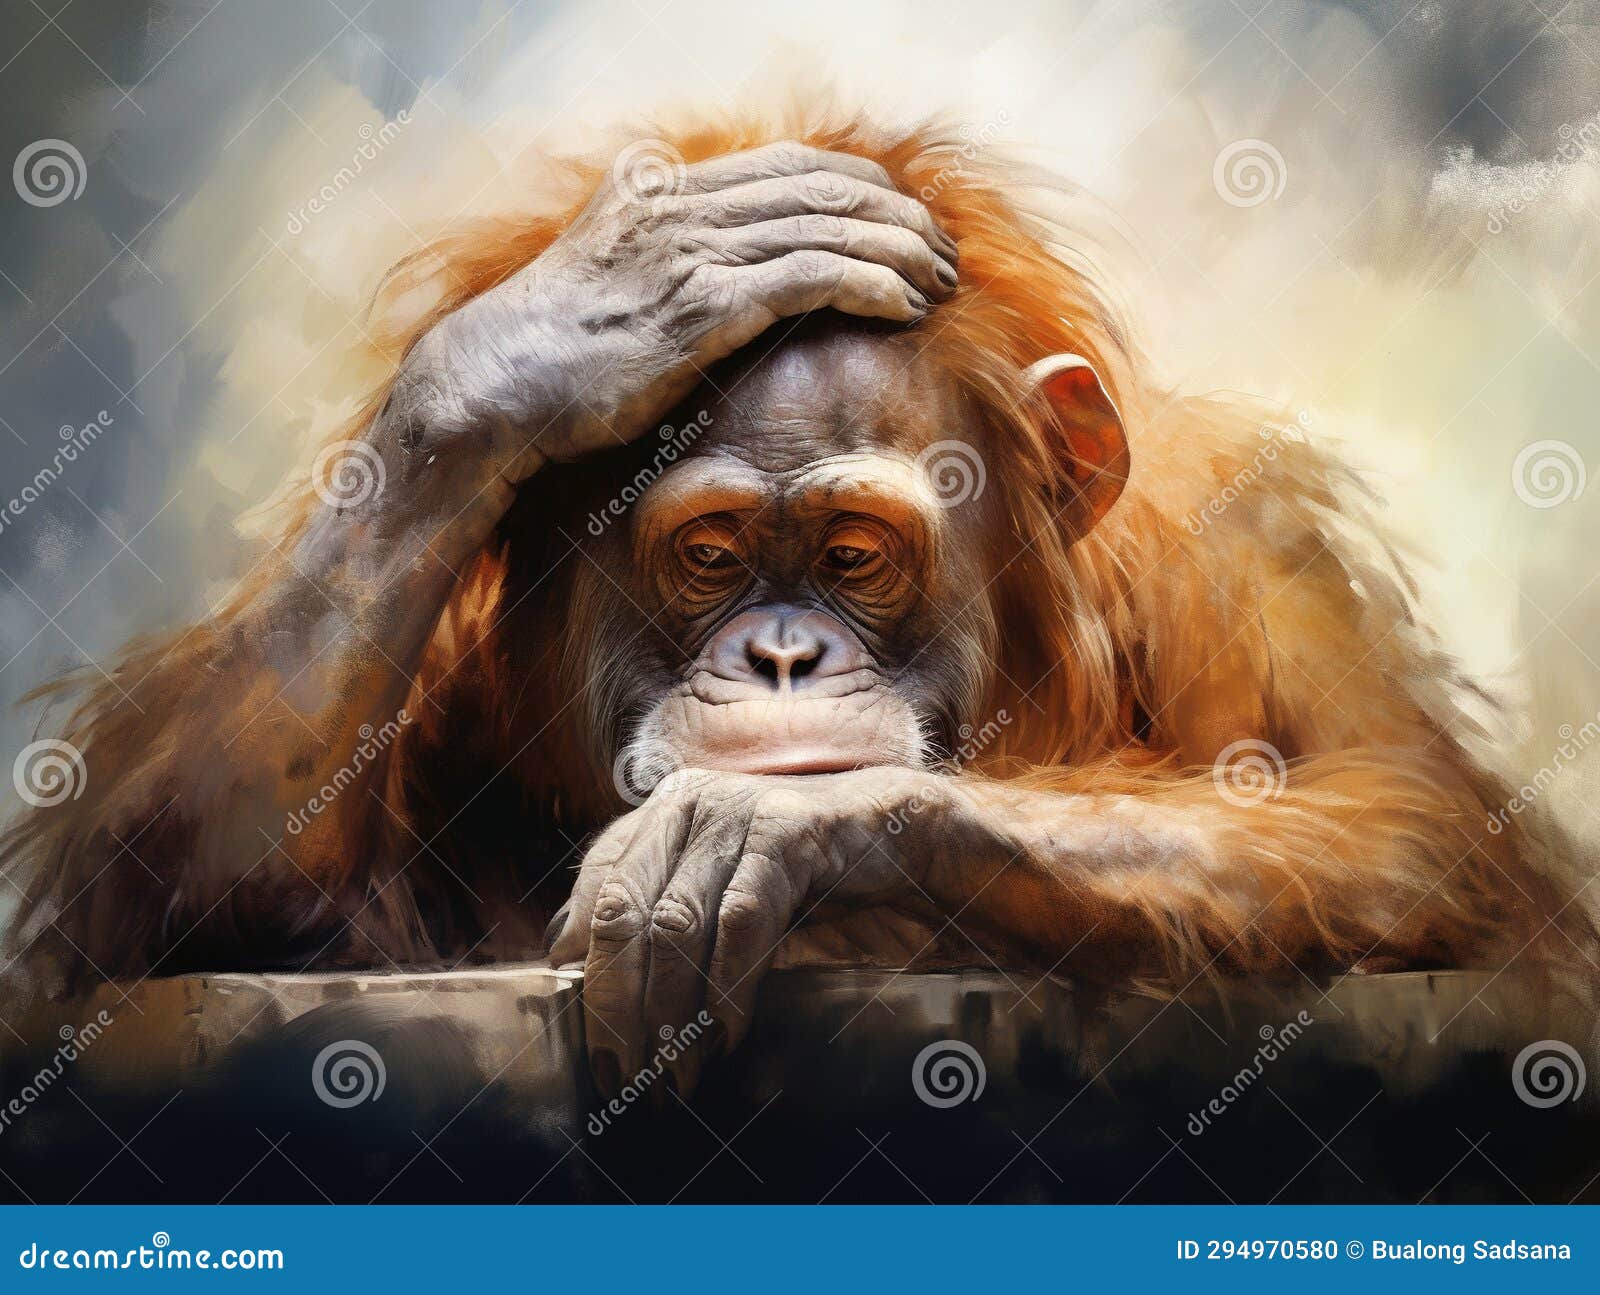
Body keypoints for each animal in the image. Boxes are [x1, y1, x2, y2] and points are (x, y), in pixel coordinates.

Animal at [3, 112, 1594, 1100]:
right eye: (711, 553)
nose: (778, 653)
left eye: (852, 554)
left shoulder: (1245, 540)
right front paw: (556, 329)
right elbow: (212, 905)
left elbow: (1412, 817)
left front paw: (784, 825)